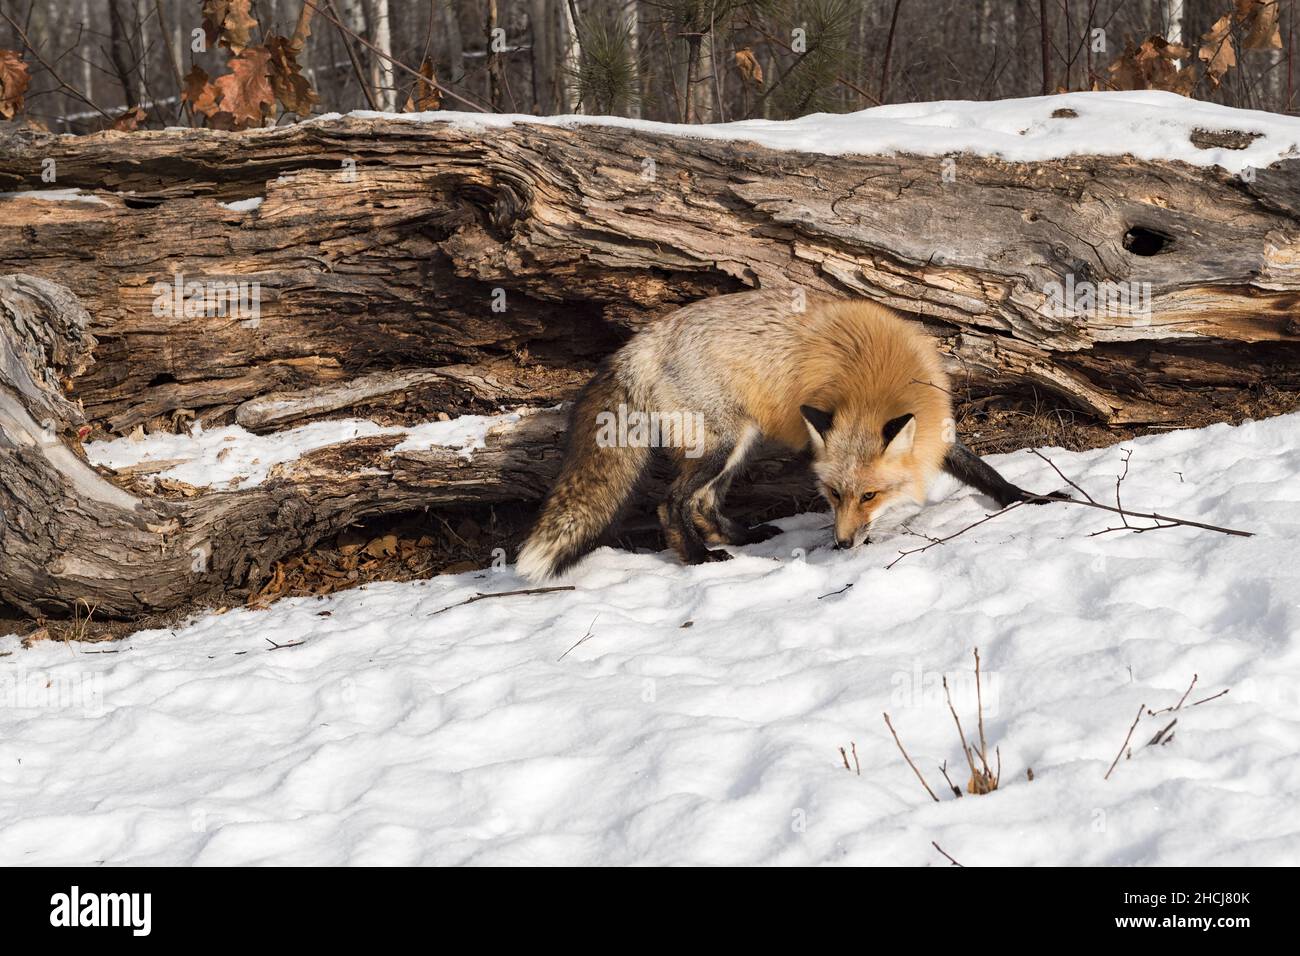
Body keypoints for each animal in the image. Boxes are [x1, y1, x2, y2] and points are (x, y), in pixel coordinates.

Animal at [516, 289, 1058, 582]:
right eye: (833, 495)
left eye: (869, 495)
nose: (843, 544)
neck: (877, 380)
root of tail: (639, 344)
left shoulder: (940, 432)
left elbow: (988, 475)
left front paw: (1034, 499)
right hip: (722, 442)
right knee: (673, 503)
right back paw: (699, 558)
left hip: (741, 443)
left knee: (703, 503)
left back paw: (745, 536)